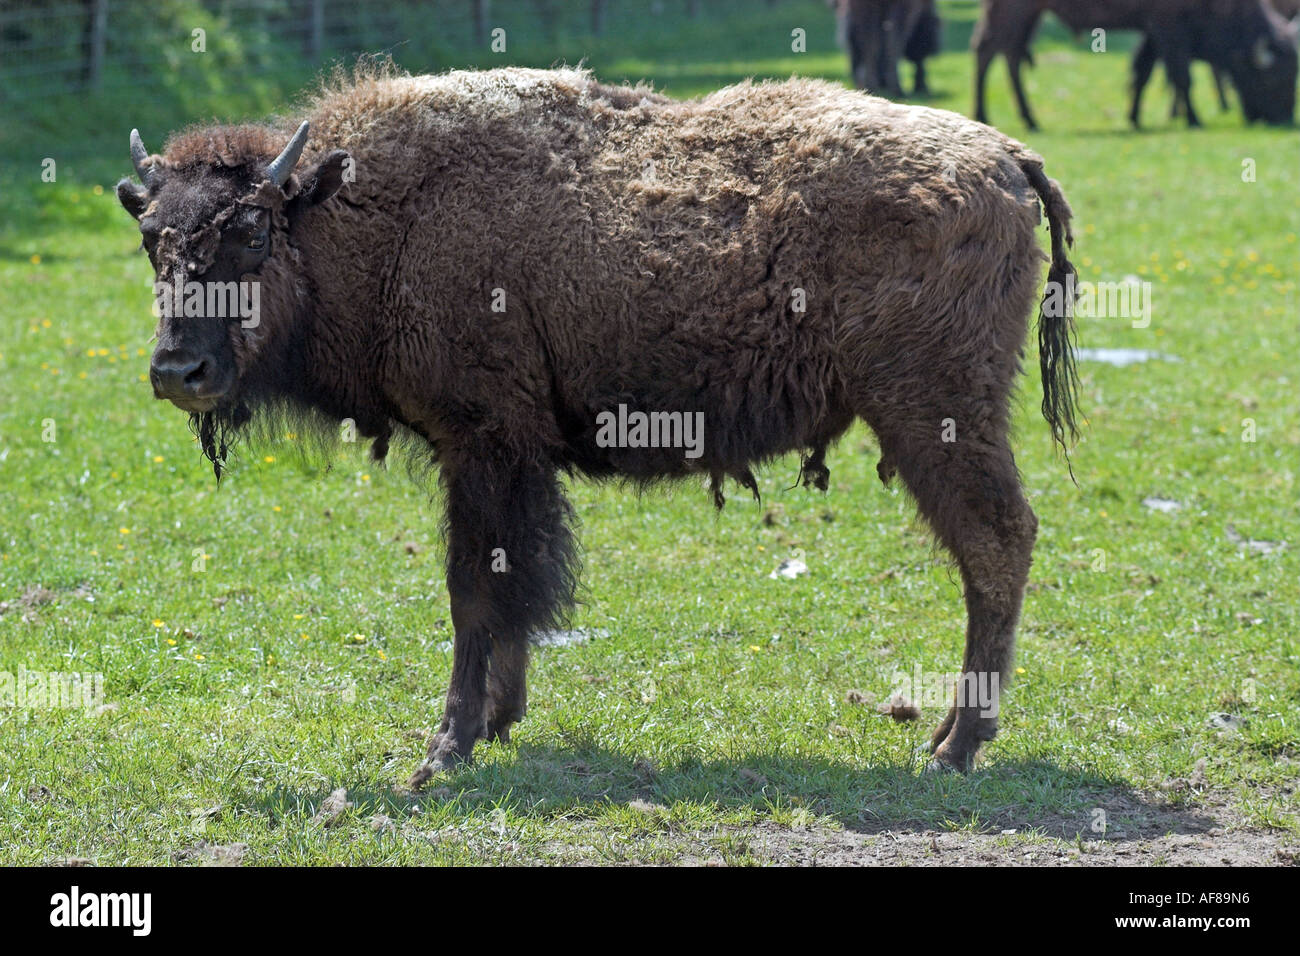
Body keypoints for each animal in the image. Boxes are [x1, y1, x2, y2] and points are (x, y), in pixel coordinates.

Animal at [117, 65, 1080, 785]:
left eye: (249, 230)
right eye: (153, 238)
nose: (177, 372)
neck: (364, 210)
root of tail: (1004, 158)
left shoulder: (482, 444)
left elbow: (475, 590)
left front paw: (446, 747)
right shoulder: (512, 460)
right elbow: (514, 584)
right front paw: (499, 721)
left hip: (935, 416)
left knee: (996, 542)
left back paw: (953, 748)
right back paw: (950, 739)